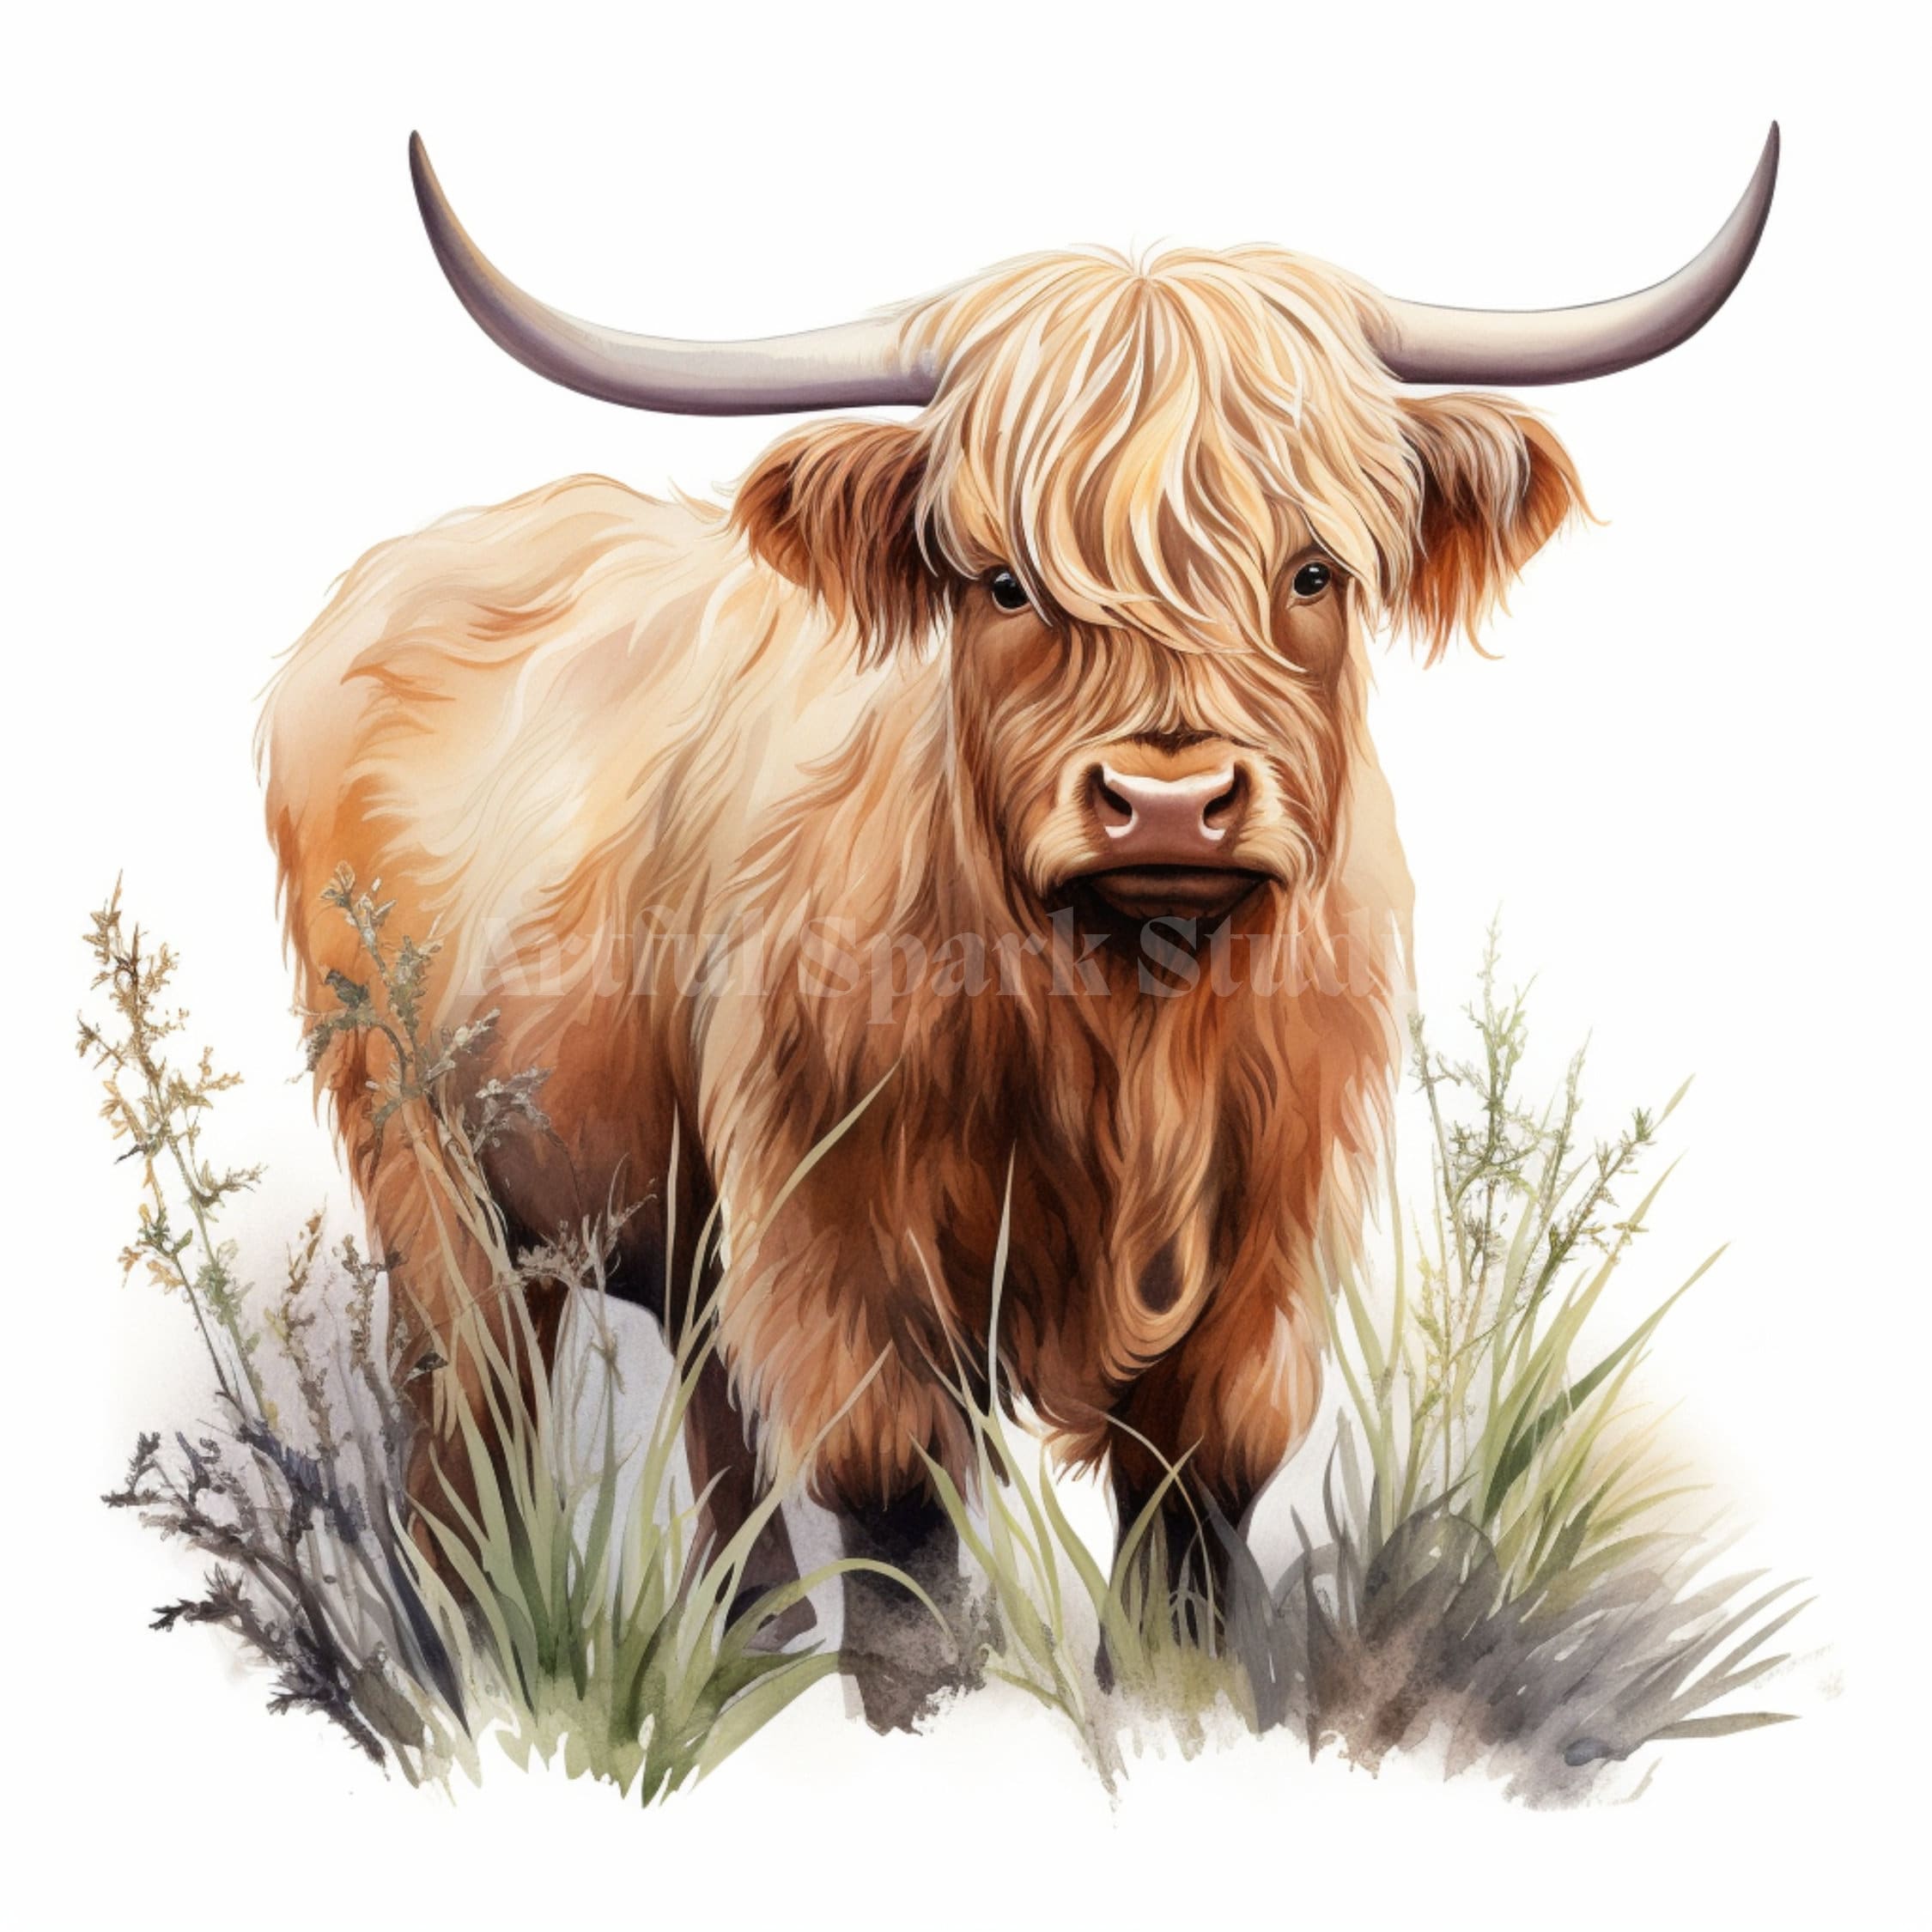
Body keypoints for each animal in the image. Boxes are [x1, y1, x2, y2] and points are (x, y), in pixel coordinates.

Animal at [260, 129, 1777, 1728]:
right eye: (1001, 582)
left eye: (1311, 571)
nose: (1168, 803)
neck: (1122, 1024)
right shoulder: (839, 1227)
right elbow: (903, 1527)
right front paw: (929, 1723)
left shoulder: (1269, 1234)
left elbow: (1190, 1517)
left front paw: (1174, 1712)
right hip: (426, 1158)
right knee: (475, 1408)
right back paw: (477, 1664)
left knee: (706, 1393)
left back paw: (747, 1656)